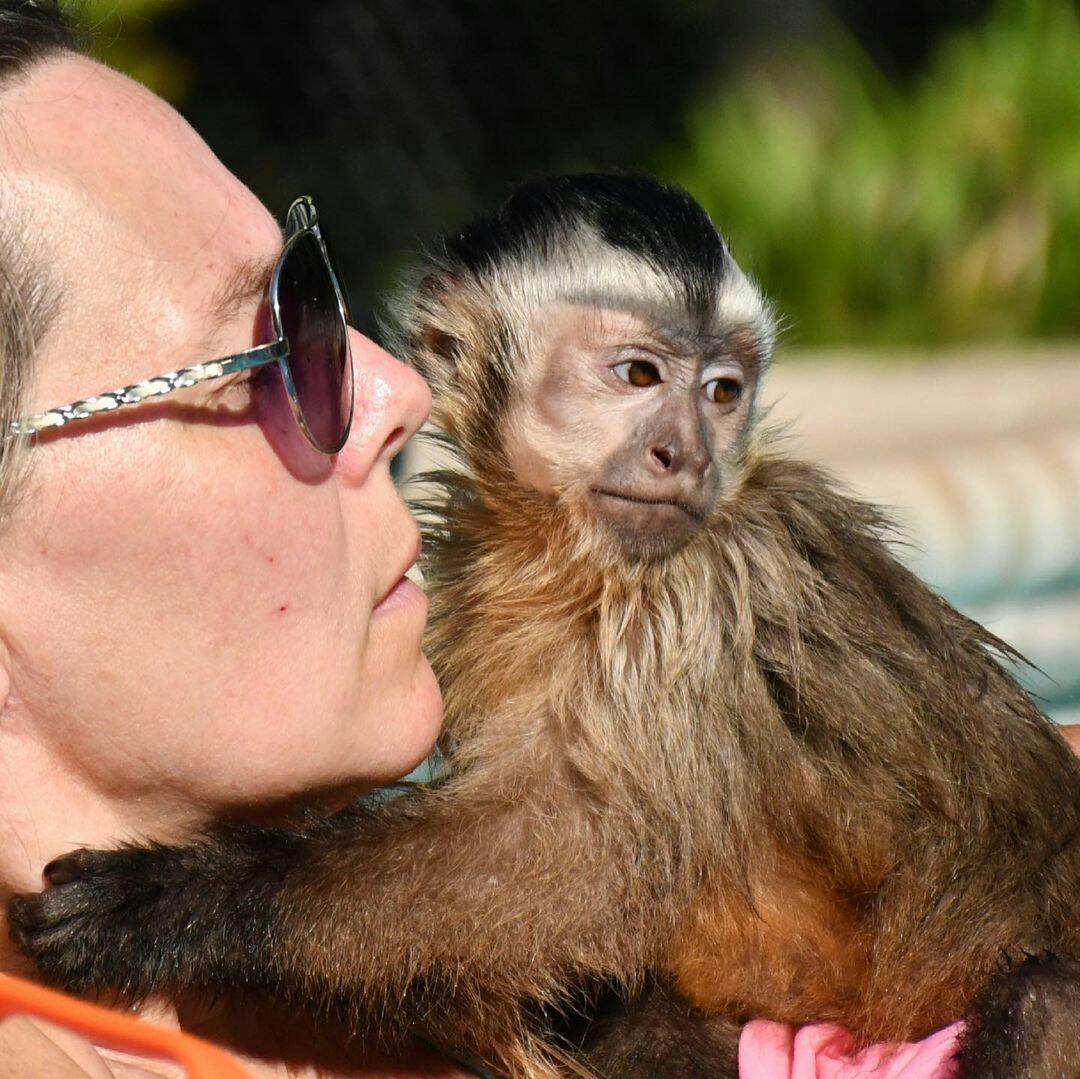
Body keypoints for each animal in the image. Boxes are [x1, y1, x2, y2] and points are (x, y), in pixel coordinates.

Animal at [8, 173, 1080, 1079]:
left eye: (723, 393)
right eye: (640, 375)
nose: (686, 453)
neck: (567, 559)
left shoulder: (694, 599)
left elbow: (577, 859)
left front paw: (189, 902)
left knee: (1042, 1004)